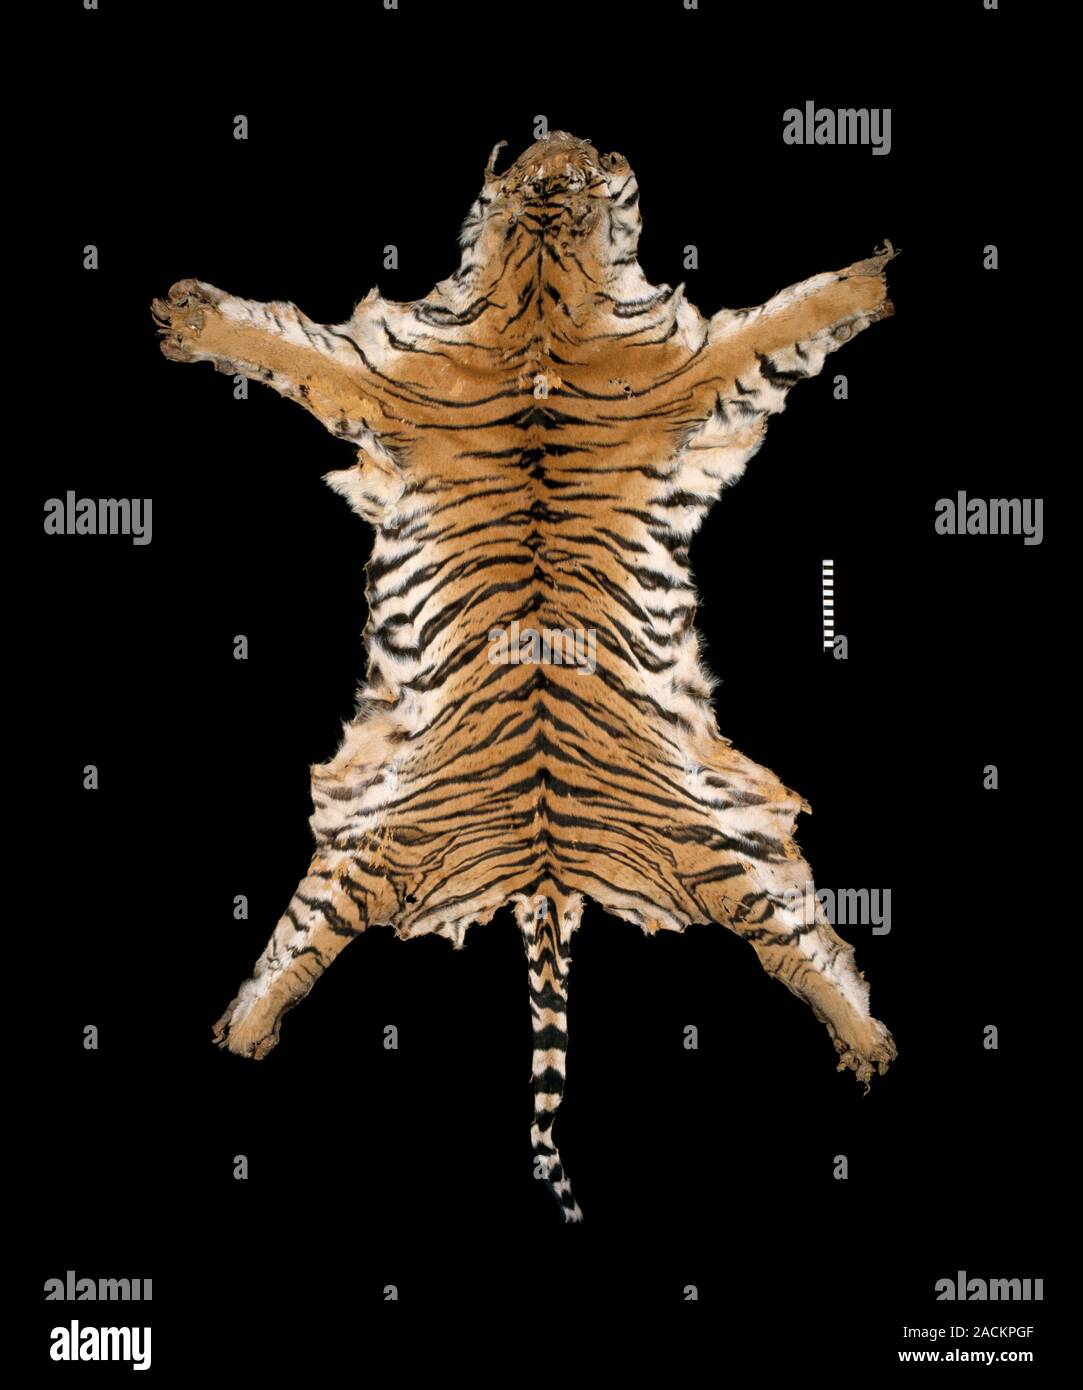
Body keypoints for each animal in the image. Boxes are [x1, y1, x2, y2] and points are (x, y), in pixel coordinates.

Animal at [152, 129, 897, 1223]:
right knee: (298, 947)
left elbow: (790, 320)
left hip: (723, 851)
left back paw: (866, 1041)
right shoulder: (382, 377)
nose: (563, 137)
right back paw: (243, 1030)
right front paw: (190, 315)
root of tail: (545, 878)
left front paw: (868, 281)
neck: (542, 288)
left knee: (802, 945)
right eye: (559, 163)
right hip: (373, 852)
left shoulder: (693, 371)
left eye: (590, 166)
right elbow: (283, 348)